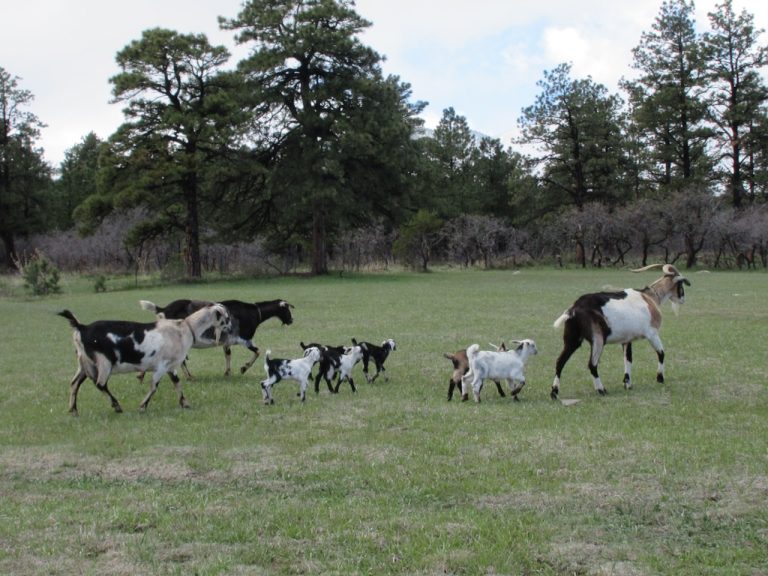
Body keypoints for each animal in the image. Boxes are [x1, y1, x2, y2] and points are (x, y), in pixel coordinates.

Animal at [58, 304, 231, 415]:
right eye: (226, 317)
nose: (230, 328)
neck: (184, 329)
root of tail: (82, 328)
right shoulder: (161, 366)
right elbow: (154, 386)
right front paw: (142, 406)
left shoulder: (170, 366)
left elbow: (177, 383)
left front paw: (185, 403)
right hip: (104, 362)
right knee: (100, 384)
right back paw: (117, 406)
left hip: (84, 363)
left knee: (74, 383)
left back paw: (73, 410)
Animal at [140, 298, 294, 377]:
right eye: (286, 309)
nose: (291, 320)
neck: (254, 313)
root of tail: (164, 309)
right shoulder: (244, 339)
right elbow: (258, 351)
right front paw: (243, 368)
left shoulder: (227, 341)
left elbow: (228, 355)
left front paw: (227, 372)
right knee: (180, 359)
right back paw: (189, 376)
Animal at [551, 263, 690, 399]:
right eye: (681, 284)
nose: (683, 299)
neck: (650, 297)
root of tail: (574, 309)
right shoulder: (652, 334)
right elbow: (661, 353)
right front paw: (660, 378)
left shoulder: (626, 340)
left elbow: (628, 359)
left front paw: (627, 384)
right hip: (598, 339)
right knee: (592, 364)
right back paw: (601, 390)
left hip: (572, 339)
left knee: (560, 361)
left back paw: (554, 392)